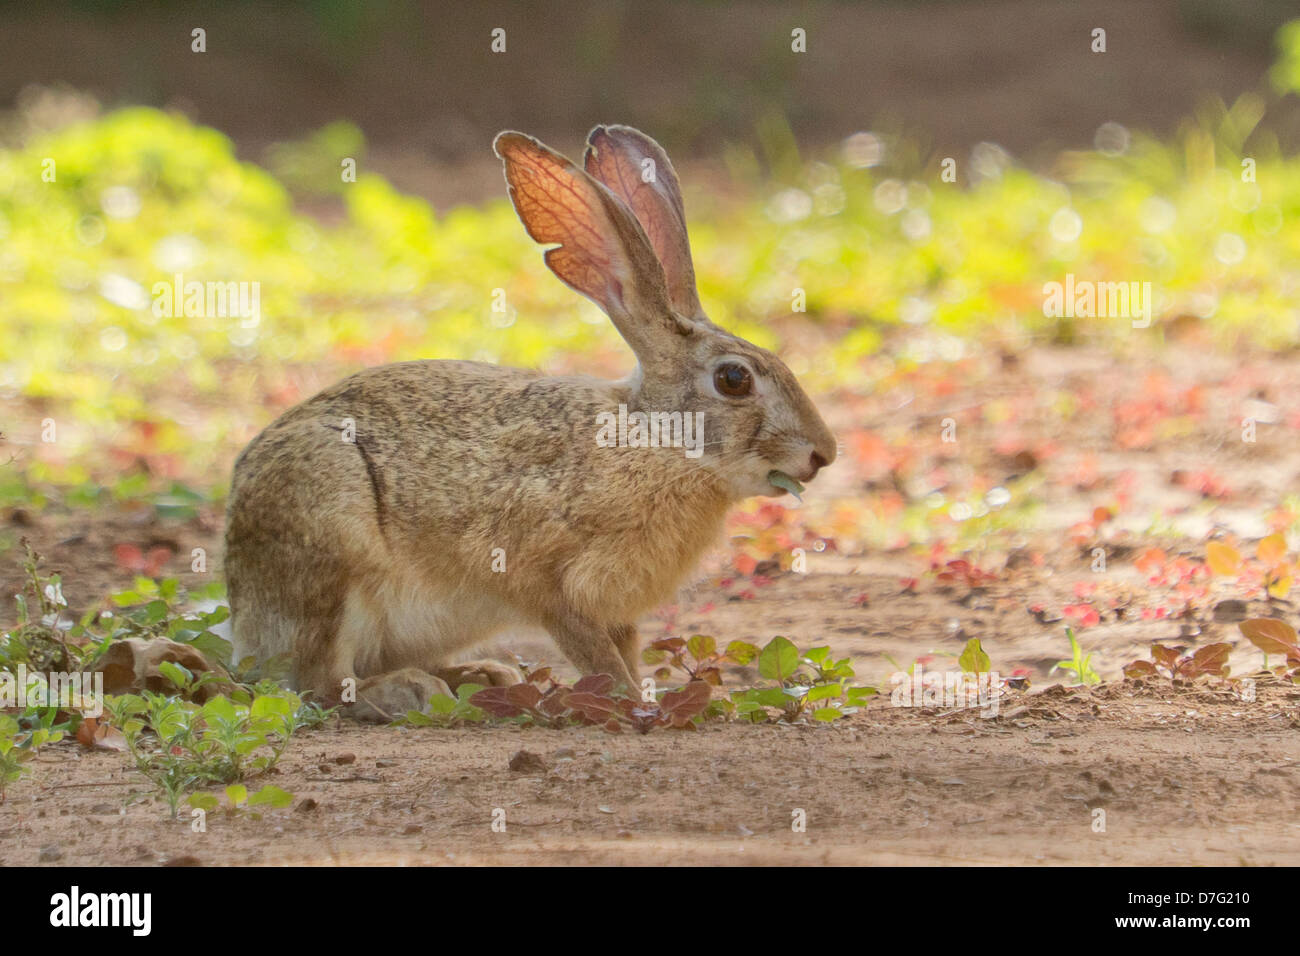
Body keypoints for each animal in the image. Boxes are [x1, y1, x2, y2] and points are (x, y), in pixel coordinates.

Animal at [224, 125, 837, 721]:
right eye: (734, 380)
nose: (823, 454)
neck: (655, 440)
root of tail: (244, 614)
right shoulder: (552, 583)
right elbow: (594, 653)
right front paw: (633, 703)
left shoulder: (614, 606)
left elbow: (626, 648)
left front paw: (646, 692)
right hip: (331, 548)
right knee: (319, 682)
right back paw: (408, 692)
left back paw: (481, 677)